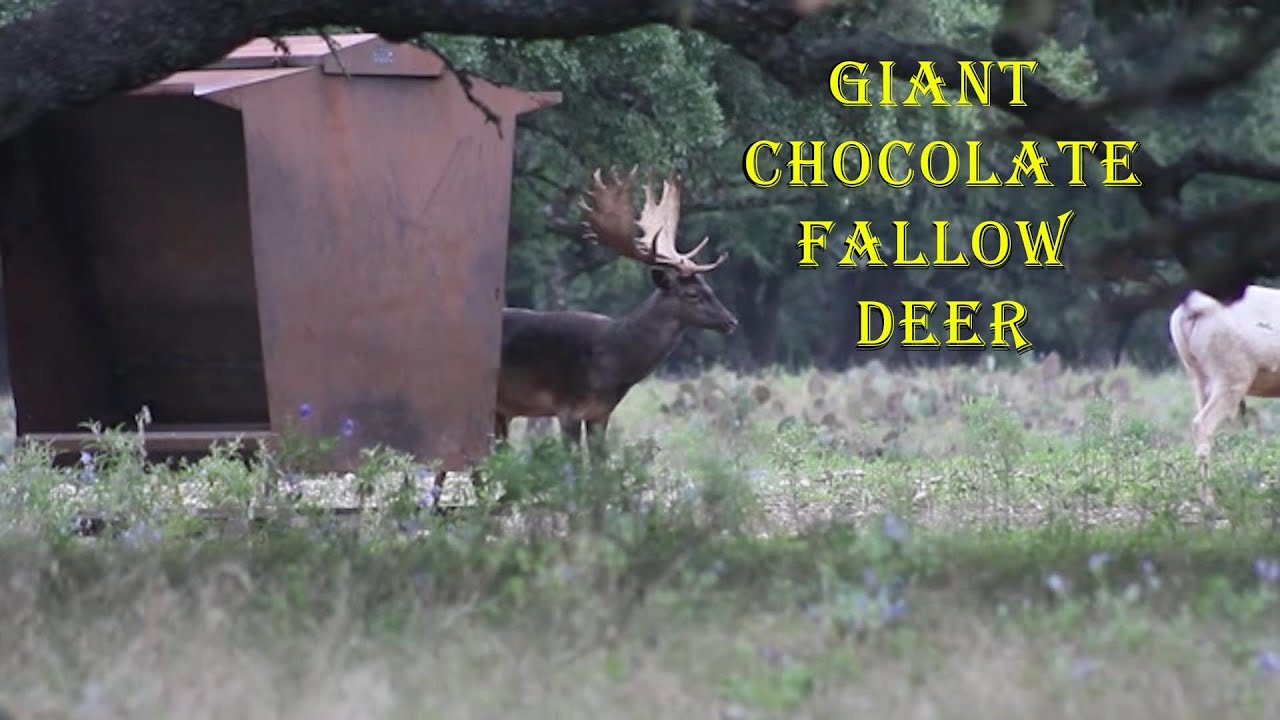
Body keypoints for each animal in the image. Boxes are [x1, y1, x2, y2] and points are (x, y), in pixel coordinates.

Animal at [493, 166, 739, 462]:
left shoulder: (601, 413)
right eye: (692, 294)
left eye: (708, 287)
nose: (731, 321)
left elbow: (600, 463)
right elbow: (572, 463)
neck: (610, 361)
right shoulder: (567, 405)